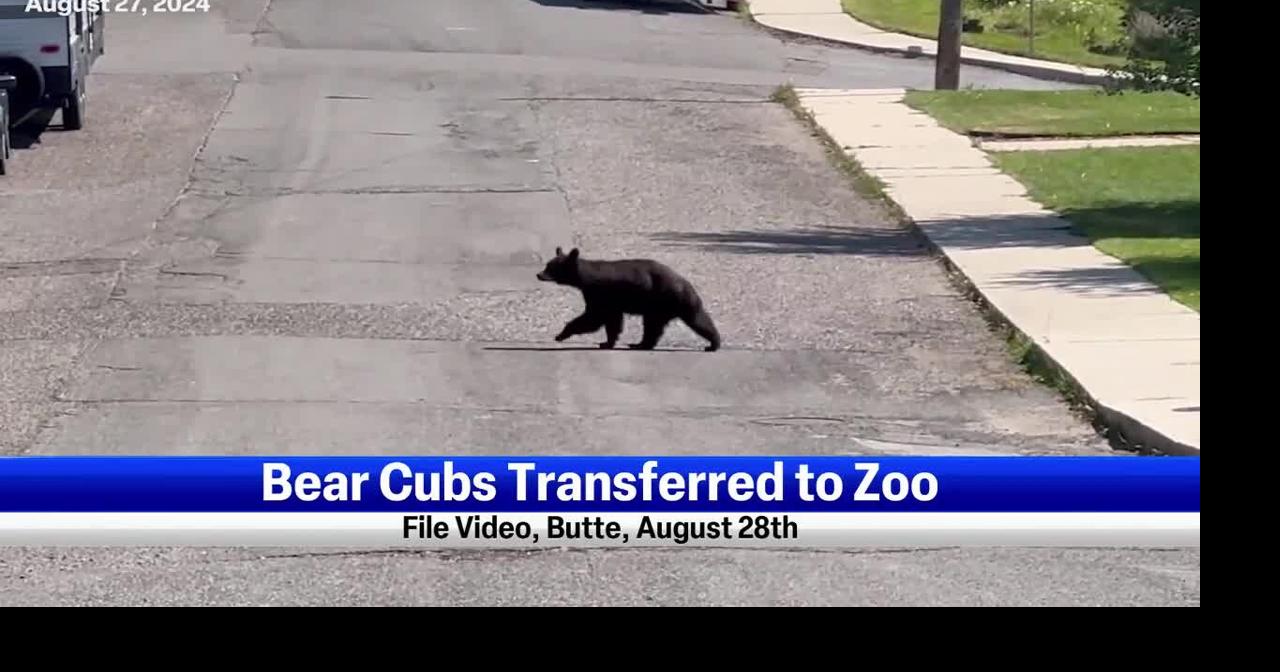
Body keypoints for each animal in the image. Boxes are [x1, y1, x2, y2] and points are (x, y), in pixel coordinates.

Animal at [536, 247, 721, 352]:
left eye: (550, 267)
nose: (539, 274)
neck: (585, 278)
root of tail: (685, 283)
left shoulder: (599, 292)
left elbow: (594, 317)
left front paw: (561, 334)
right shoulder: (609, 300)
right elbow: (612, 321)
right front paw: (607, 342)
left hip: (666, 300)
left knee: (694, 320)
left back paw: (713, 343)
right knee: (656, 326)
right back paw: (641, 344)